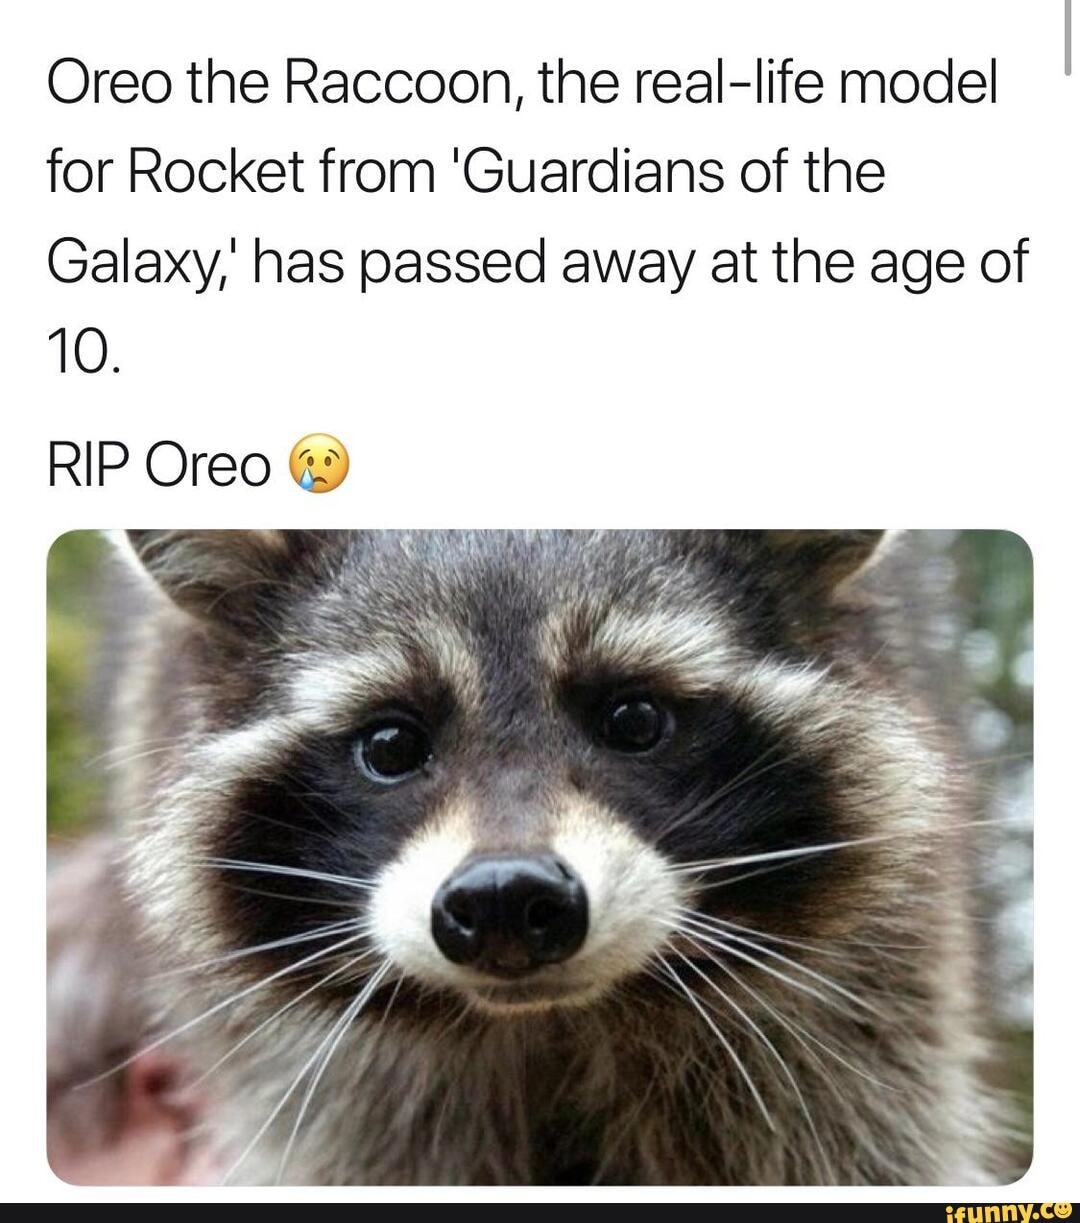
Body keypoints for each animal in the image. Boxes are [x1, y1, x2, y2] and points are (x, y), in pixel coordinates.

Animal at [107, 529, 1002, 1185]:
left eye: (635, 719)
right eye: (390, 745)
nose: (505, 898)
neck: (550, 1021)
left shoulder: (851, 1007)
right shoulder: (335, 1077)